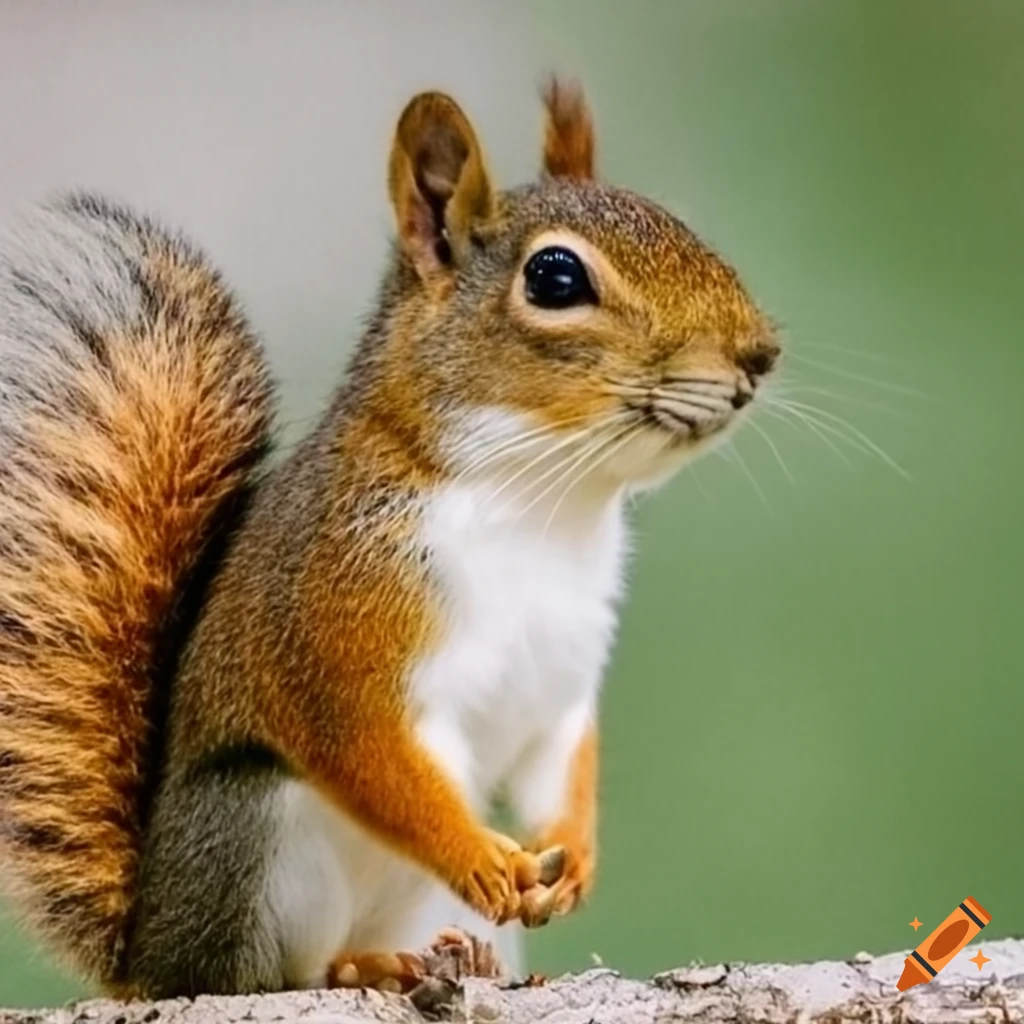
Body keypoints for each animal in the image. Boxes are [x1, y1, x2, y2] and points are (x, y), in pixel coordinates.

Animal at [0, 78, 779, 1000]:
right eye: (555, 277)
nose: (761, 353)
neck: (542, 501)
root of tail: (151, 958)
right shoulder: (337, 611)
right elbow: (371, 753)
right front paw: (478, 857)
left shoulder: (565, 667)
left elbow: (560, 755)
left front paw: (576, 858)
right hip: (262, 843)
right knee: (275, 972)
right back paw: (359, 963)